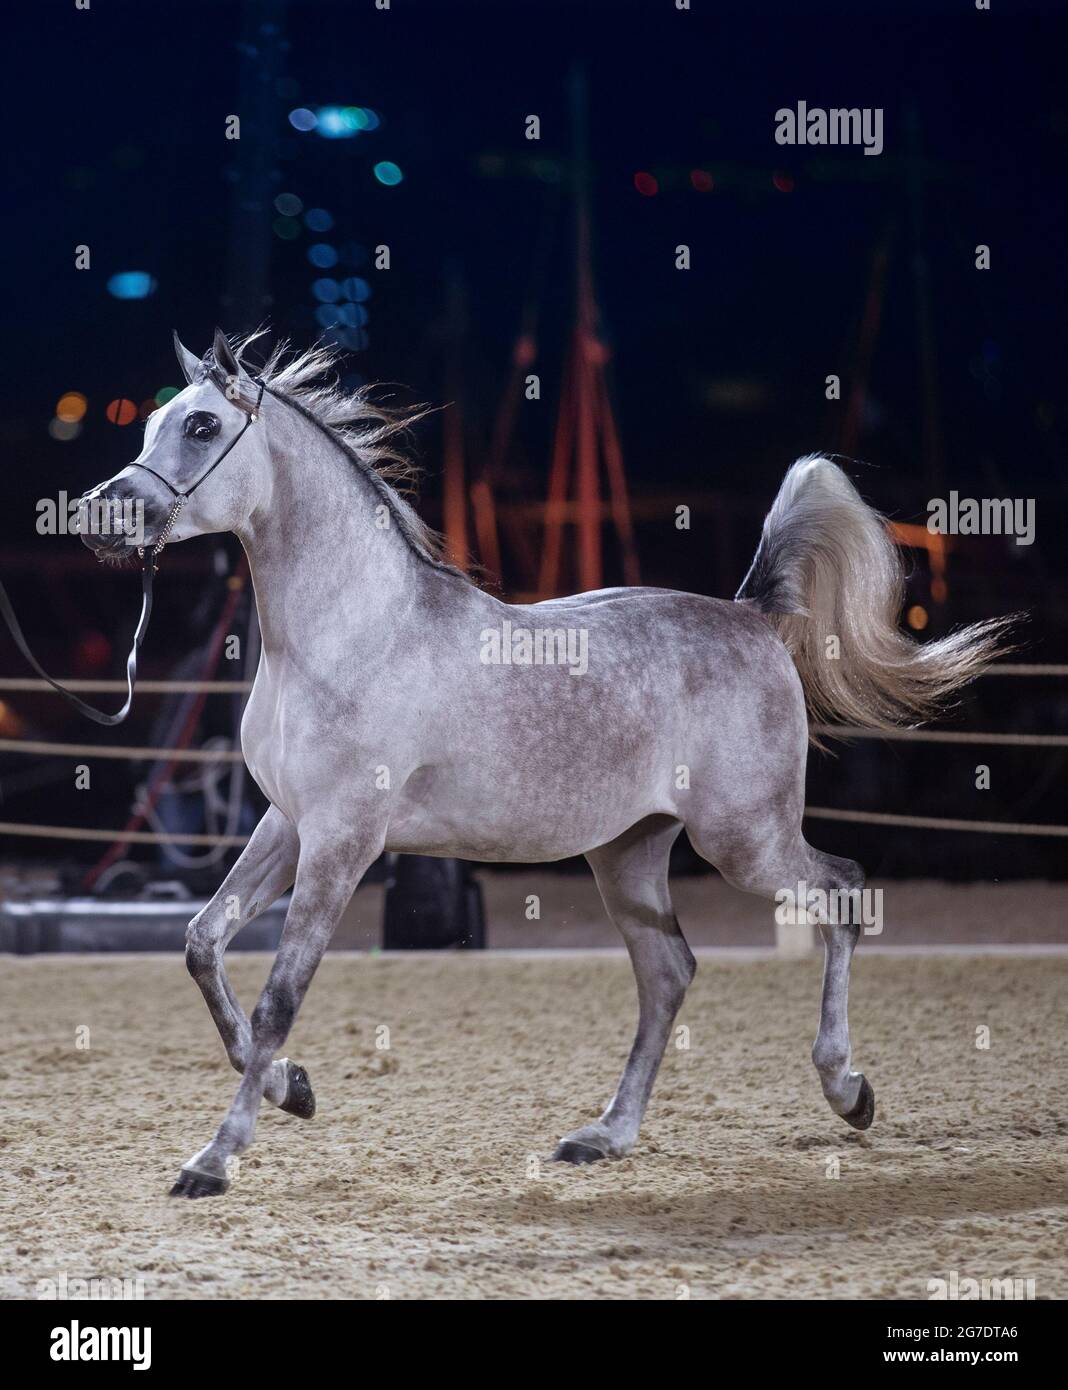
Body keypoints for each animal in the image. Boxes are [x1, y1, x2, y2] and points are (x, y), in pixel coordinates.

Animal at [79, 329, 1010, 1198]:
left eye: (202, 425)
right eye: (154, 419)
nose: (98, 514)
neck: (354, 632)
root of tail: (752, 616)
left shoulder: (342, 841)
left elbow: (279, 996)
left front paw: (215, 1158)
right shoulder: (288, 823)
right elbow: (203, 944)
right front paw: (293, 1090)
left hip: (744, 840)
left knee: (842, 892)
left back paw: (848, 1090)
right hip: (629, 850)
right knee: (669, 974)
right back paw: (606, 1135)